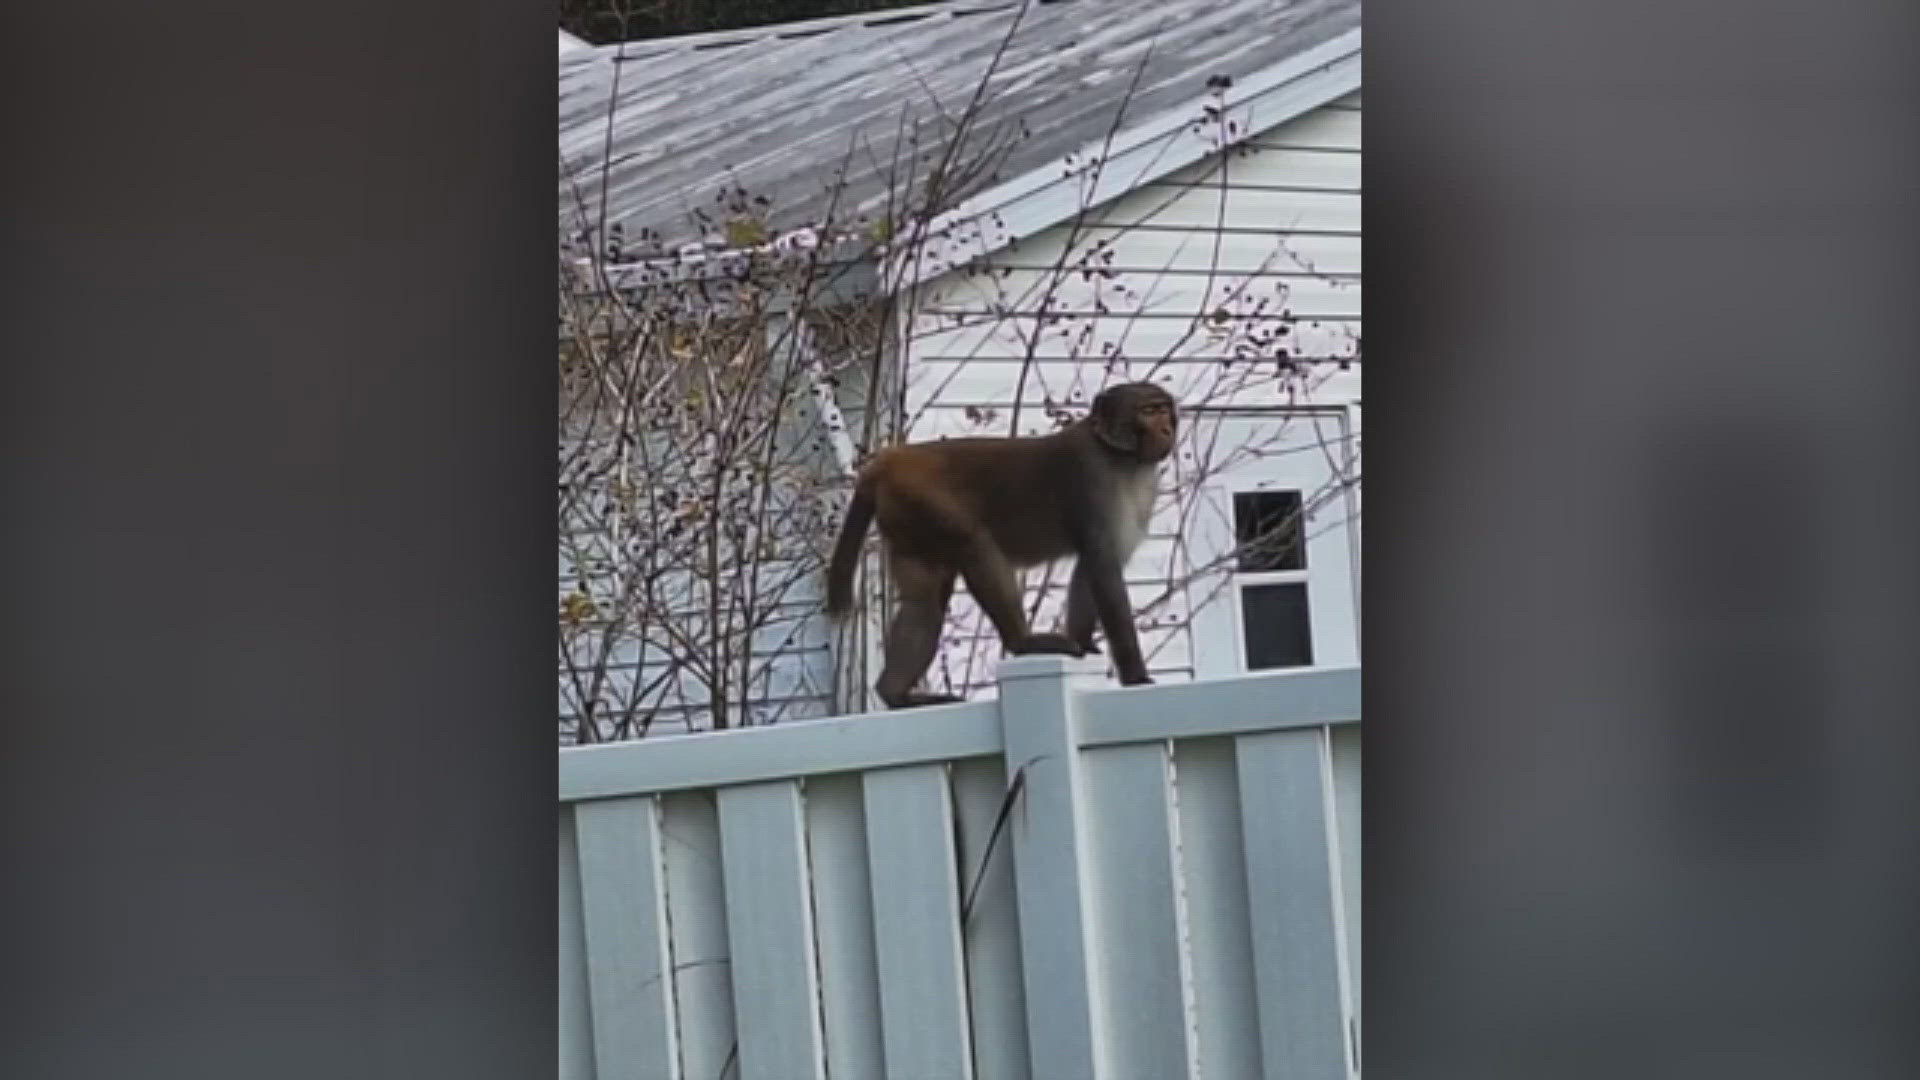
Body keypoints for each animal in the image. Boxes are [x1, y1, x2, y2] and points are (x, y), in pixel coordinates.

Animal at [826, 381, 1177, 708]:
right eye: (1148, 411)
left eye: (1162, 408)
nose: (1167, 428)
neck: (1120, 457)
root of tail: (889, 461)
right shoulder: (1091, 475)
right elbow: (1103, 565)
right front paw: (1136, 677)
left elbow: (1093, 566)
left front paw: (1084, 641)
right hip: (921, 496)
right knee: (974, 543)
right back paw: (1021, 642)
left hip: (906, 517)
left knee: (923, 603)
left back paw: (895, 694)